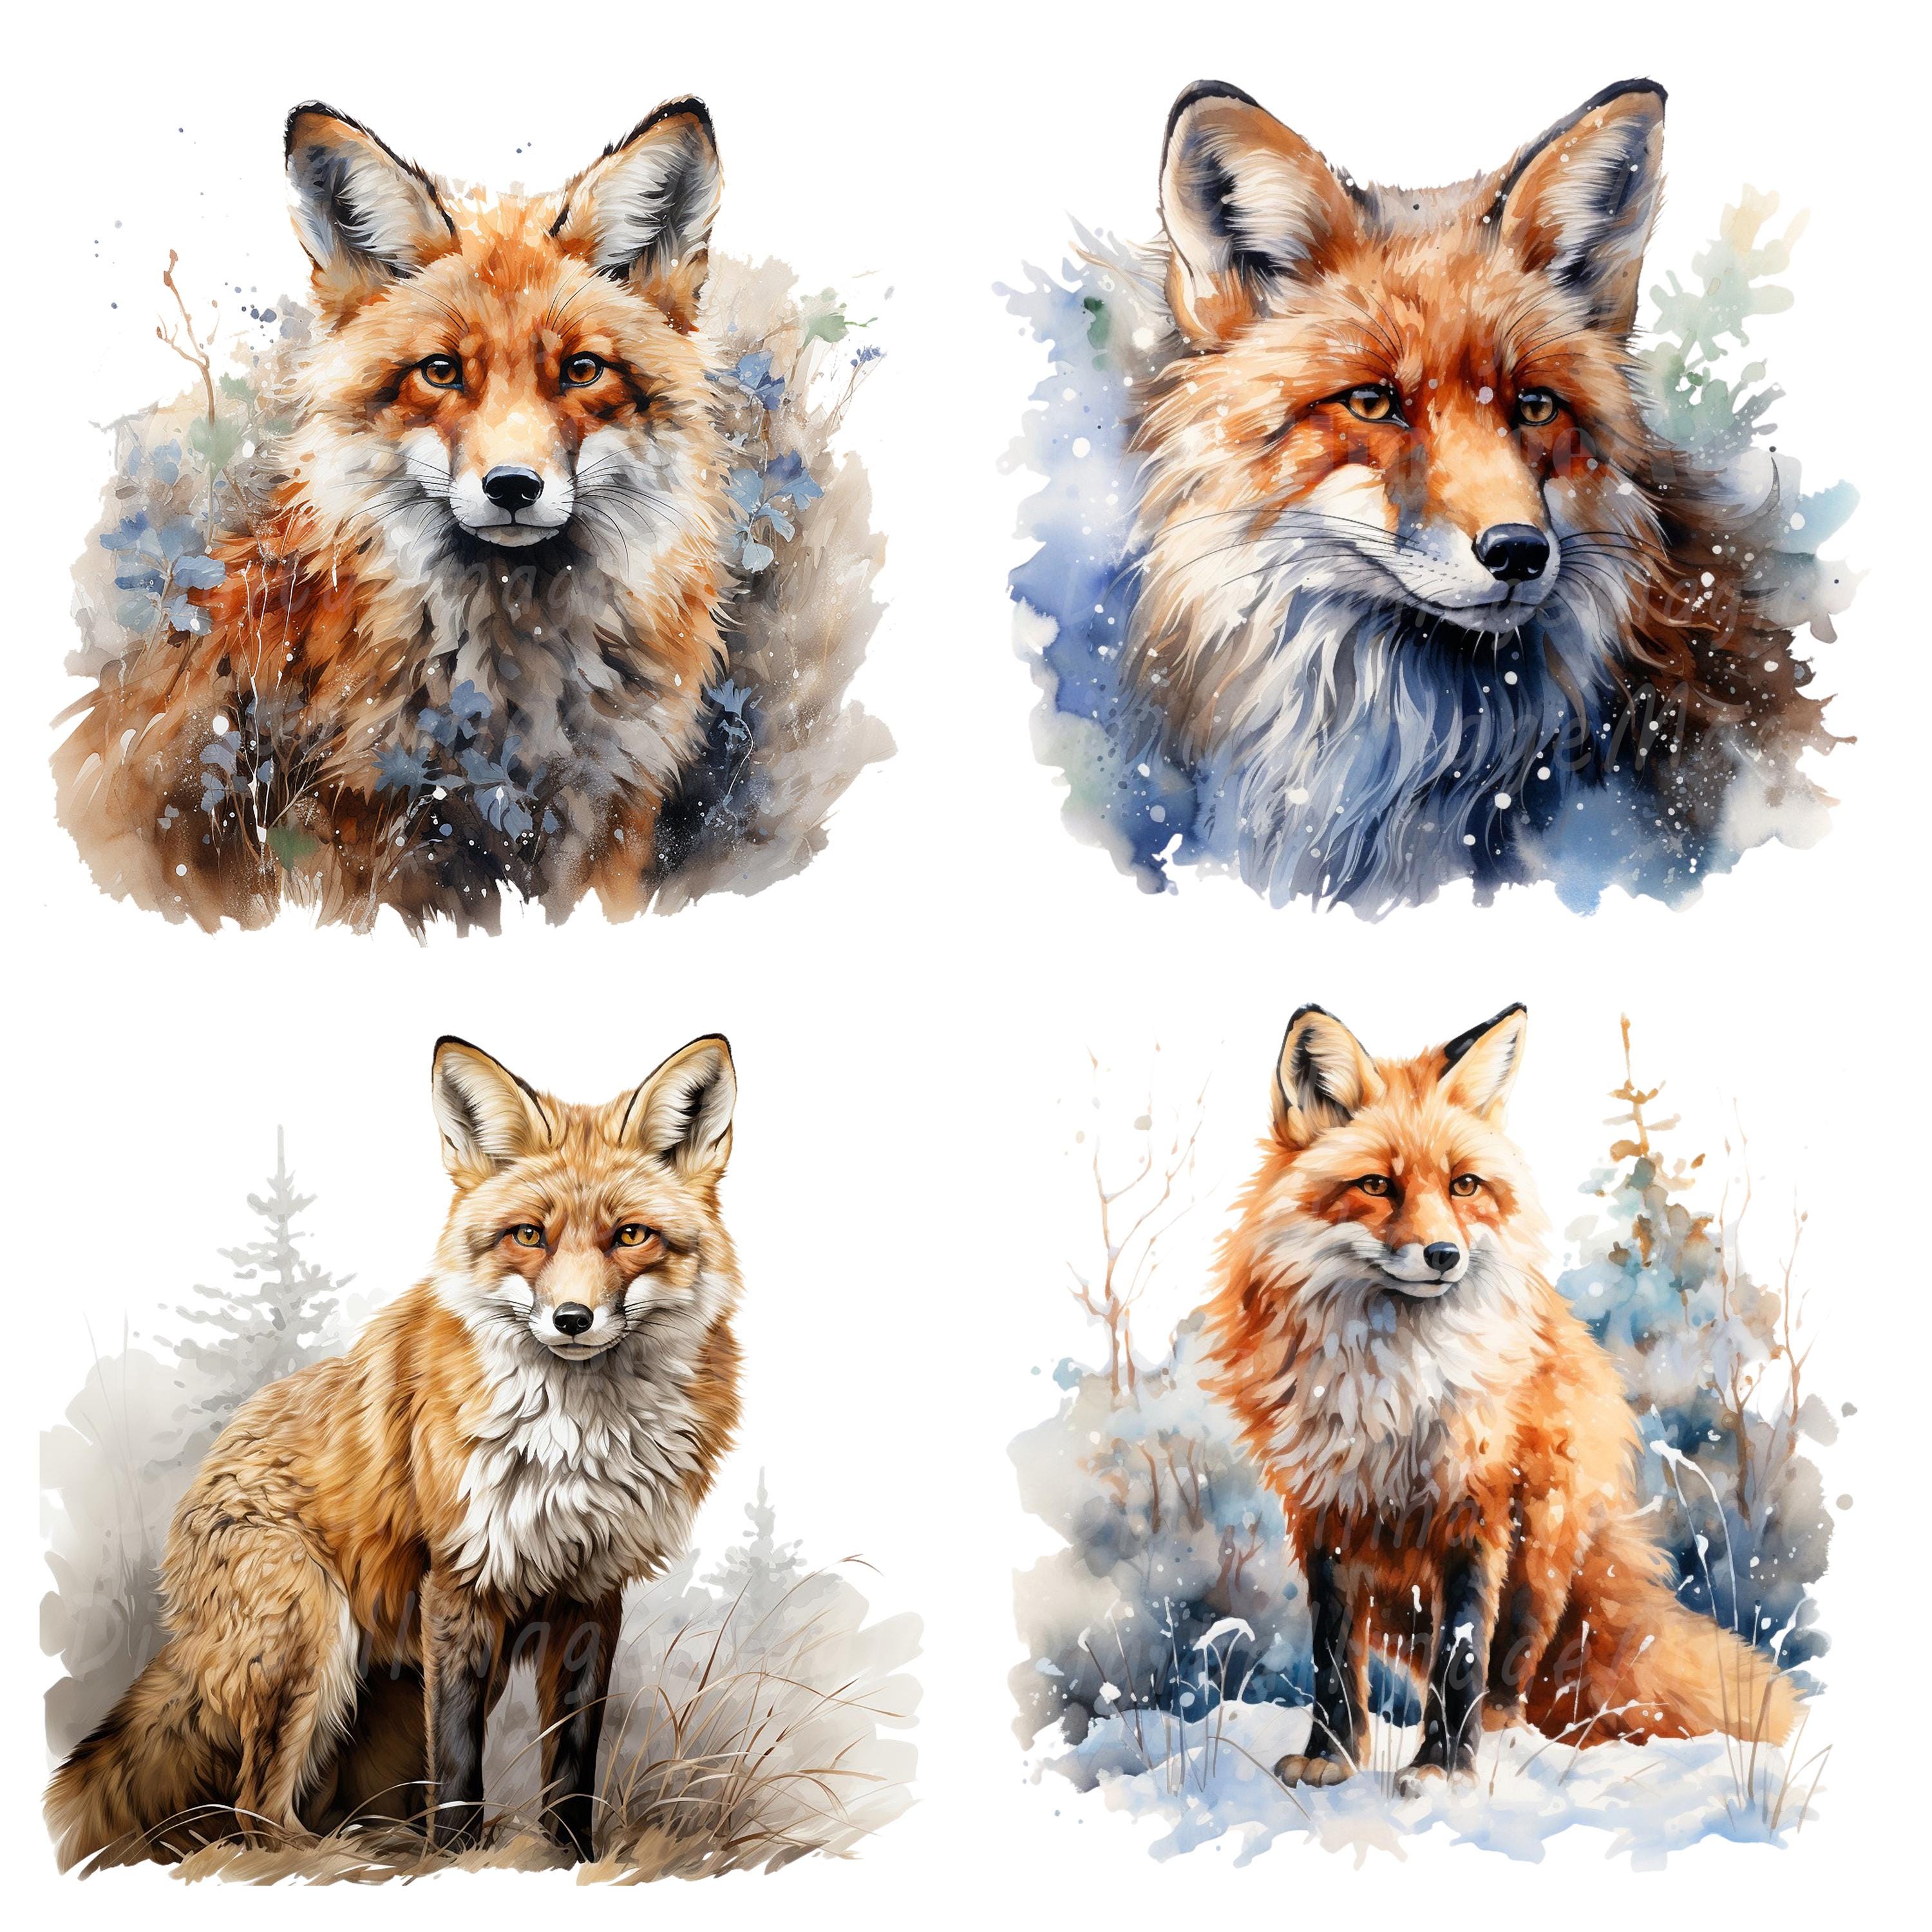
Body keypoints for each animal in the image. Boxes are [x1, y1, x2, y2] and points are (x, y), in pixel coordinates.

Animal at [44, 1033, 742, 1870]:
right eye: (529, 1236)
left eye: (631, 1236)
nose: (572, 1319)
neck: (578, 1445)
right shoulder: (459, 1584)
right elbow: (461, 1763)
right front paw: (457, 1859)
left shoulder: (592, 1592)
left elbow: (573, 1762)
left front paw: (571, 1857)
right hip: (312, 1646)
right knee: (255, 1810)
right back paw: (337, 1859)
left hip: (384, 1695)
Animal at [1200, 1003, 1796, 1791]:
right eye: (1377, 1185)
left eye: (1464, 1186)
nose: (1443, 1255)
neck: (1396, 1387)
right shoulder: (1326, 1512)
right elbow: (1333, 1657)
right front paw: (1333, 1757)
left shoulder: (1475, 1502)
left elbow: (1462, 1655)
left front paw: (1442, 1769)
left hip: (1542, 1538)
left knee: (1516, 1663)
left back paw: (1499, 1736)